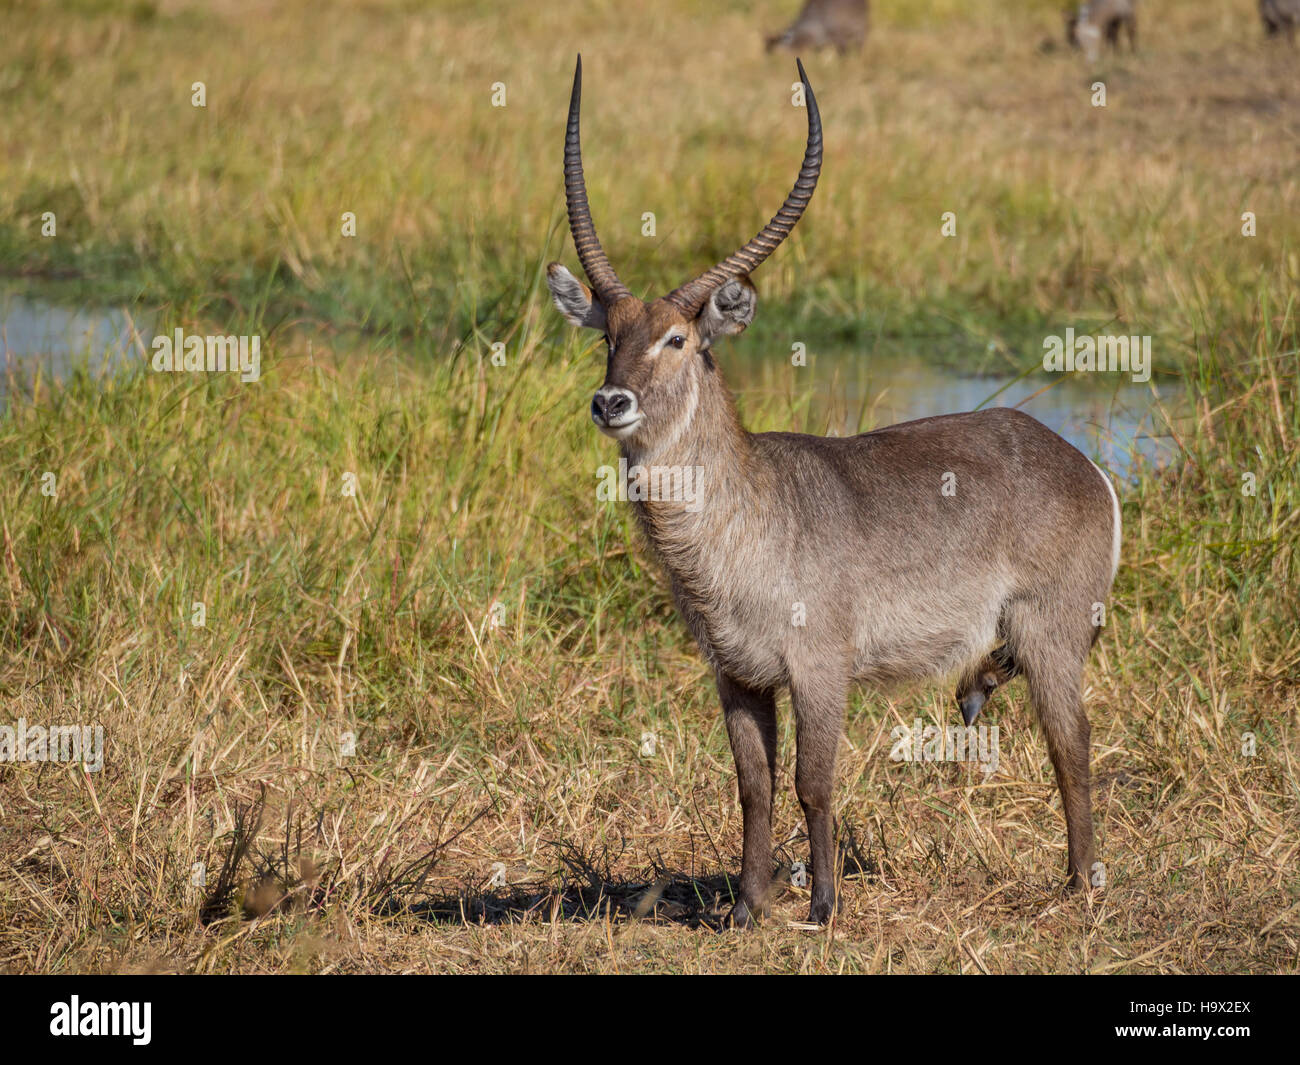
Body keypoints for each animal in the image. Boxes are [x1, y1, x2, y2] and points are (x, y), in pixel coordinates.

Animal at [546, 57, 1121, 927]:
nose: (612, 403)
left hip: (1053, 629)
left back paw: (1077, 880)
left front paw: (820, 904)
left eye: (677, 339)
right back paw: (975, 688)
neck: (742, 515)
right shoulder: (737, 673)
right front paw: (747, 906)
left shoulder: (820, 665)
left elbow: (813, 782)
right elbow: (754, 787)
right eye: (607, 337)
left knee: (1072, 744)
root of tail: (1082, 463)